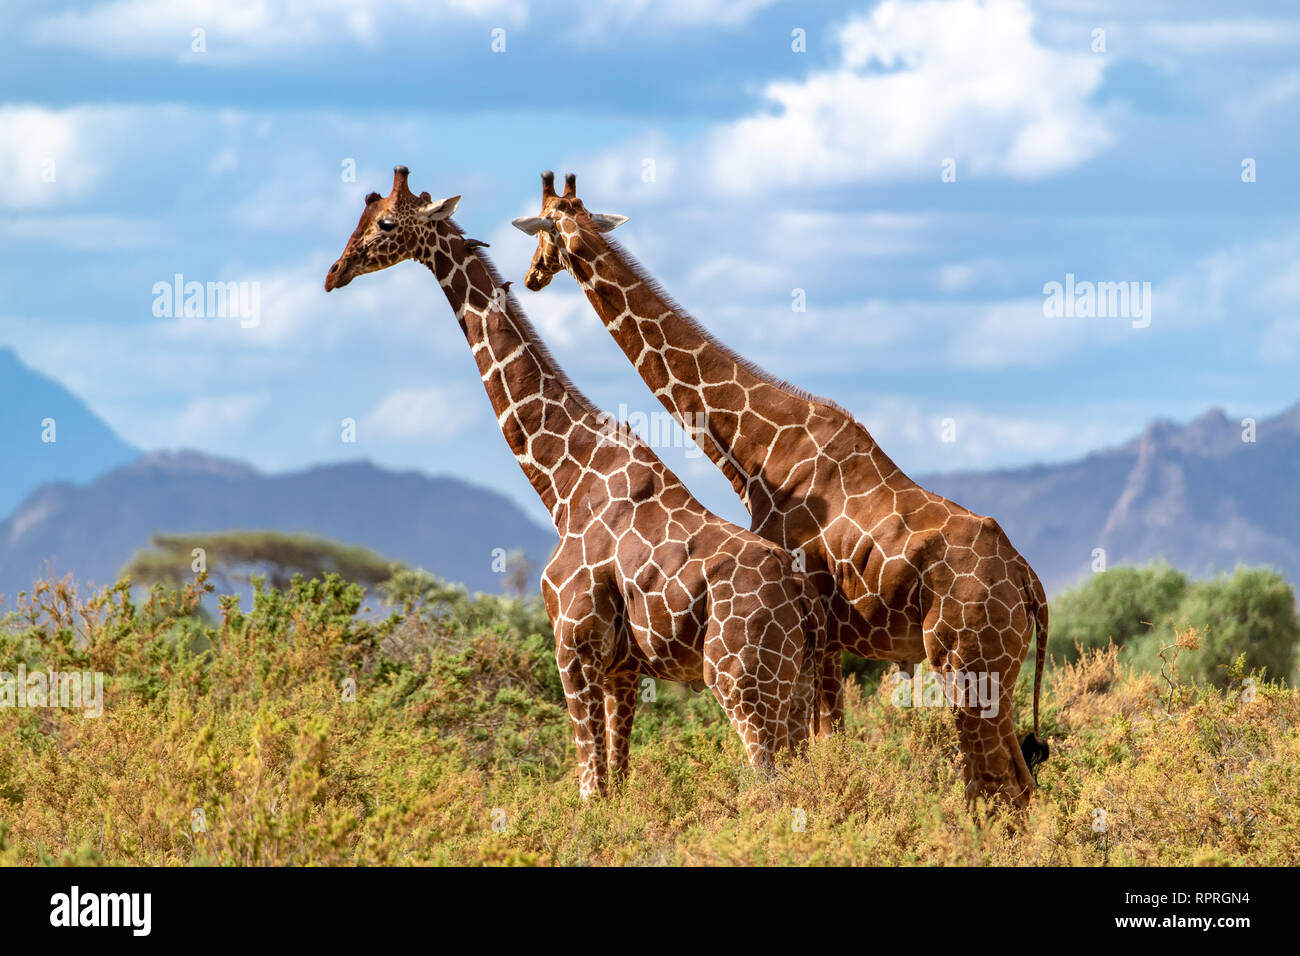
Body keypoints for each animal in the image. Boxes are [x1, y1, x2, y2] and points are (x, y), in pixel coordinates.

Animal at [325, 166, 823, 799]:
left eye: (386, 223)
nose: (333, 273)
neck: (562, 480)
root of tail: (803, 598)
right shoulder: (622, 668)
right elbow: (616, 784)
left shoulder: (572, 645)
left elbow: (588, 788)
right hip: (796, 688)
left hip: (740, 680)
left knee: (768, 784)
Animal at [513, 172, 1050, 808]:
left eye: (541, 228)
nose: (531, 275)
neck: (757, 449)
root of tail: (1030, 582)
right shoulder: (828, 636)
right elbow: (827, 738)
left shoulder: (814, 621)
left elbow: (824, 740)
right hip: (998, 670)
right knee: (1019, 780)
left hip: (967, 663)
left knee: (1000, 782)